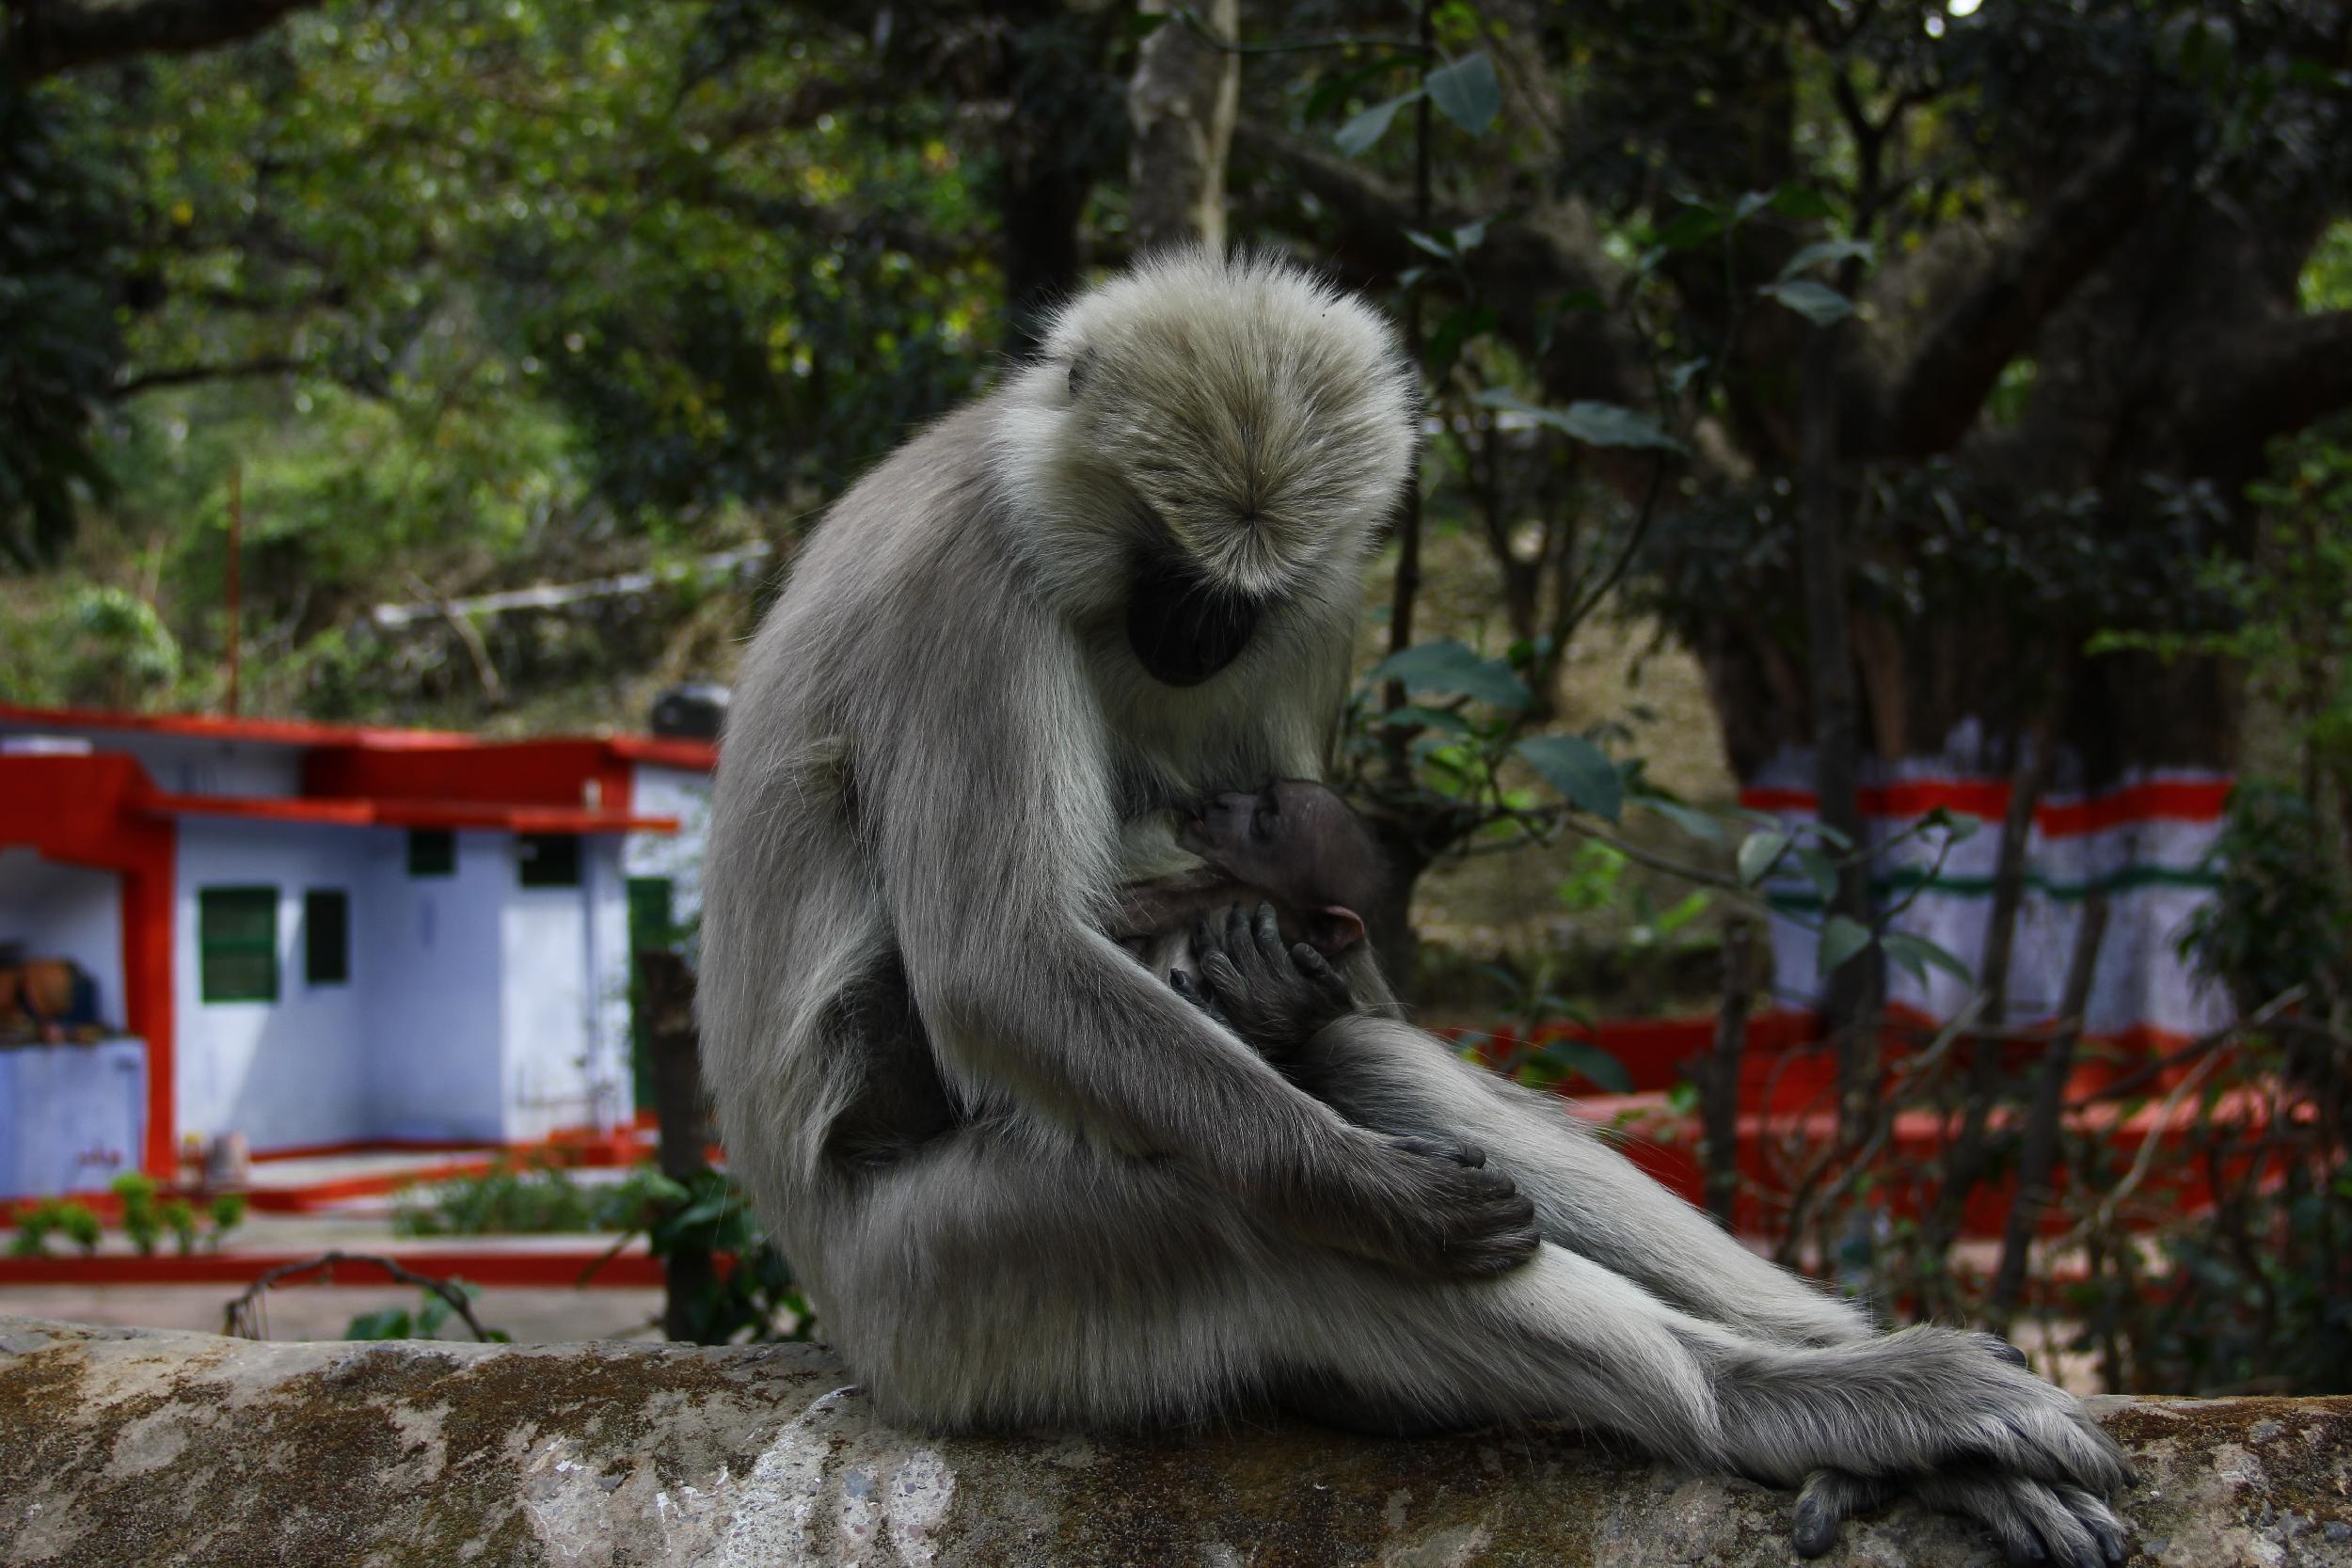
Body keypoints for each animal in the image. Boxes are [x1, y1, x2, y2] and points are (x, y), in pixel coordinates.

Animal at [691, 257, 2136, 1568]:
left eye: (1240, 598)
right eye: (1174, 572)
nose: (1200, 640)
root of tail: (842, 1305)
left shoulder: (1302, 623)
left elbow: (1327, 963)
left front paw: (1277, 967)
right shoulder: (968, 580)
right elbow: (999, 966)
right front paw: (1372, 1188)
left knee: (1366, 1057)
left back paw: (1867, 1372)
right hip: (947, 1284)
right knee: (1243, 1222)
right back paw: (1778, 1401)